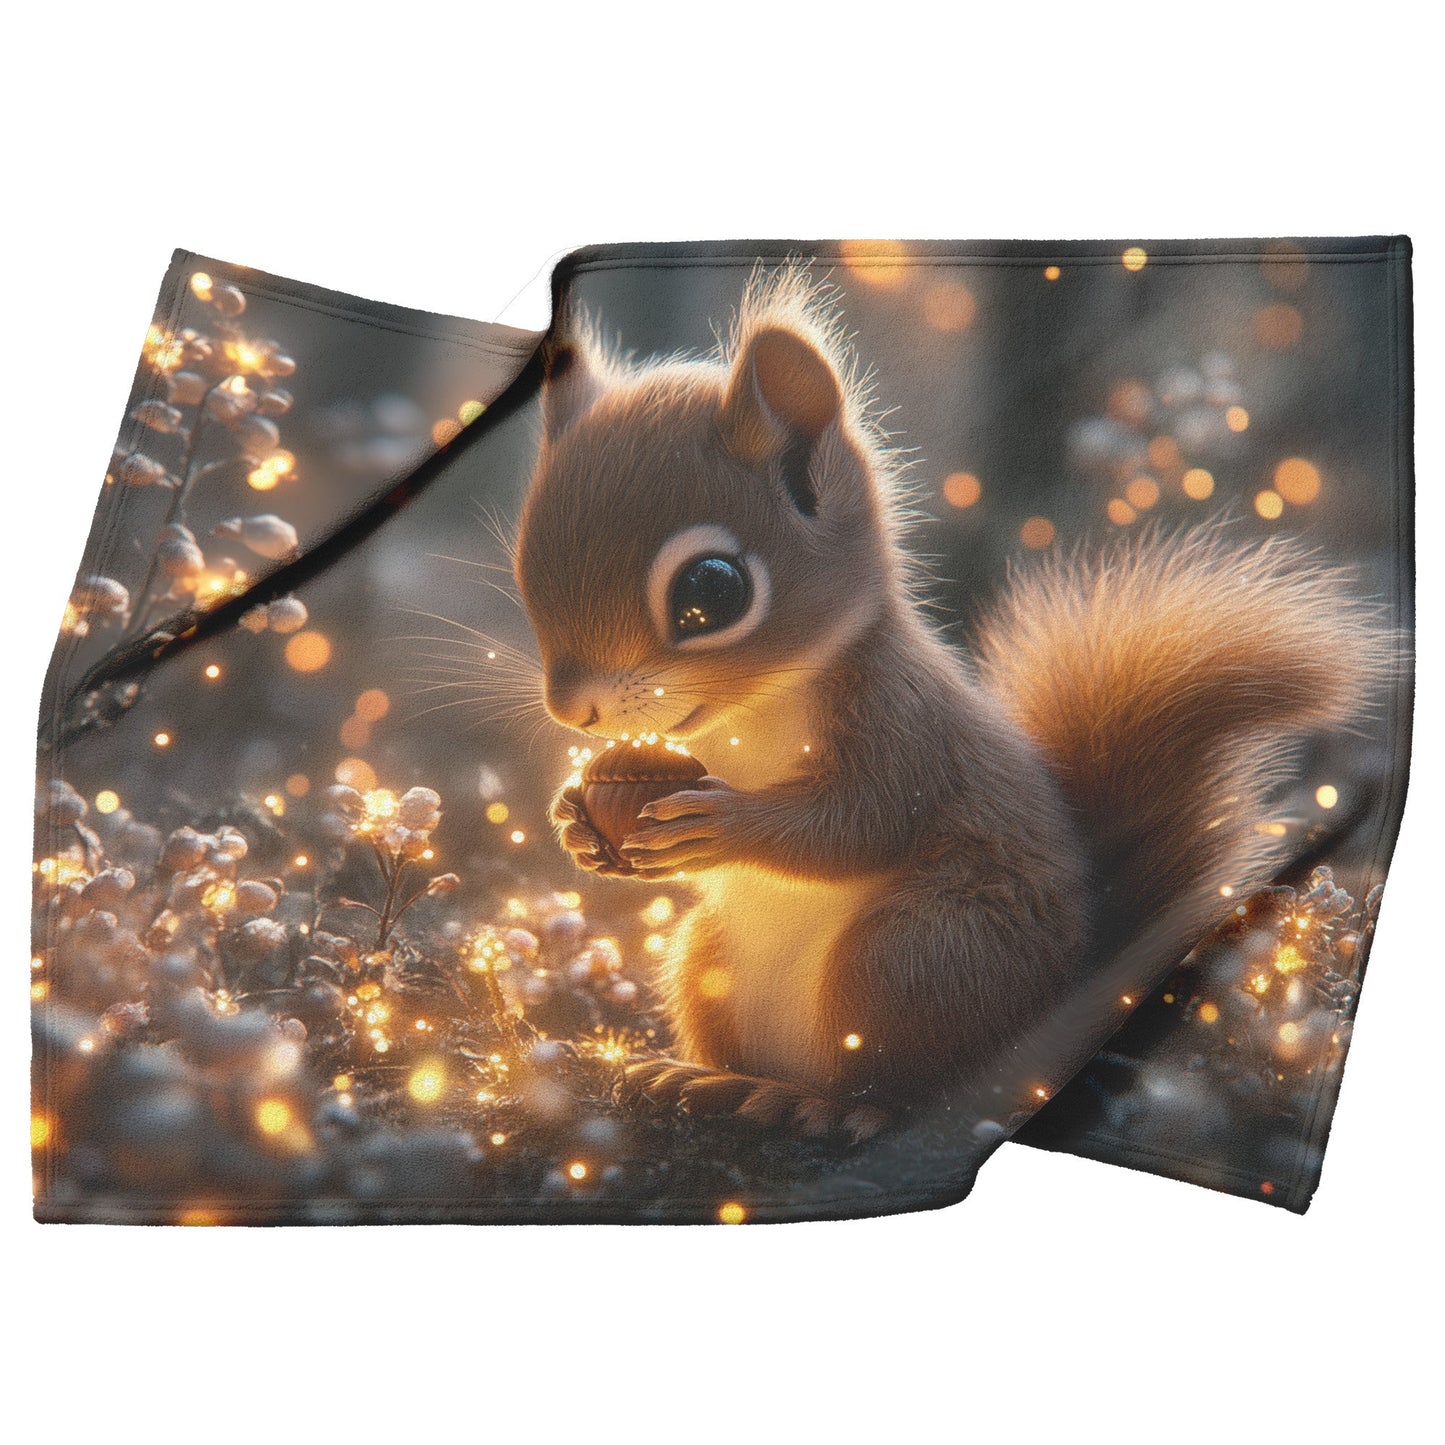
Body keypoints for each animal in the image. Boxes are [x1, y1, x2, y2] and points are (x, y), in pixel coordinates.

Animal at [514, 264, 1386, 1141]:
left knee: (903, 1088)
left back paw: (819, 1103)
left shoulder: (903, 722)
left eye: (710, 591)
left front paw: (726, 824)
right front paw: (574, 820)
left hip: (917, 954)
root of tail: (1047, 1023)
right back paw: (704, 1076)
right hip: (708, 957)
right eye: (523, 562)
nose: (573, 711)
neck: (750, 716)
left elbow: (860, 821)